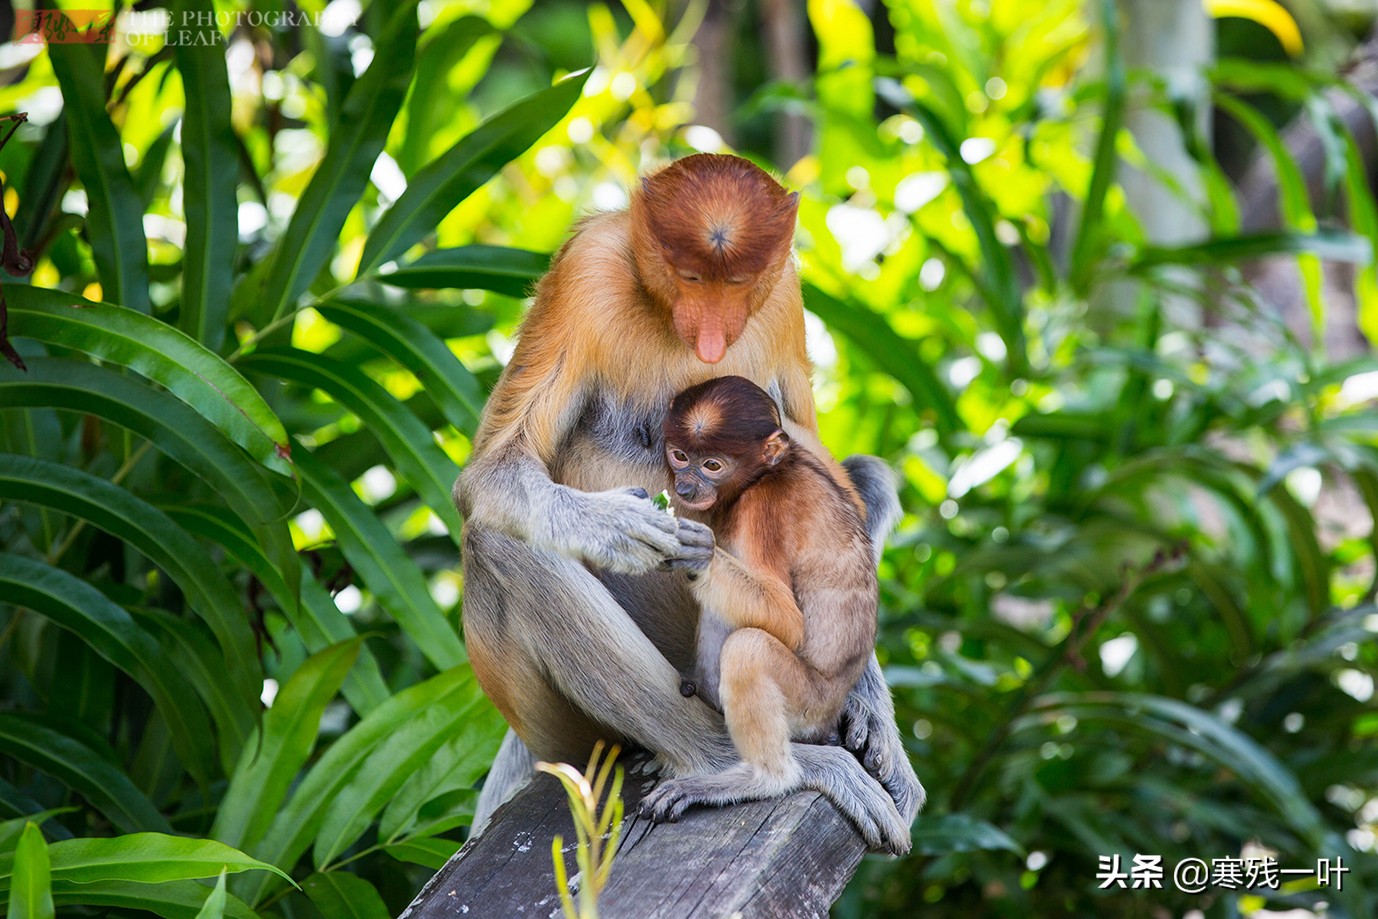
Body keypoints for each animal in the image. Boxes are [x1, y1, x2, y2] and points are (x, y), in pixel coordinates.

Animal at [641, 376, 880, 820]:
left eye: (712, 465)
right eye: (680, 456)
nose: (685, 487)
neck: (771, 470)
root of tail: (832, 709)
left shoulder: (762, 510)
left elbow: (786, 619)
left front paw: (694, 552)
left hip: (806, 704)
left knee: (748, 647)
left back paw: (760, 779)